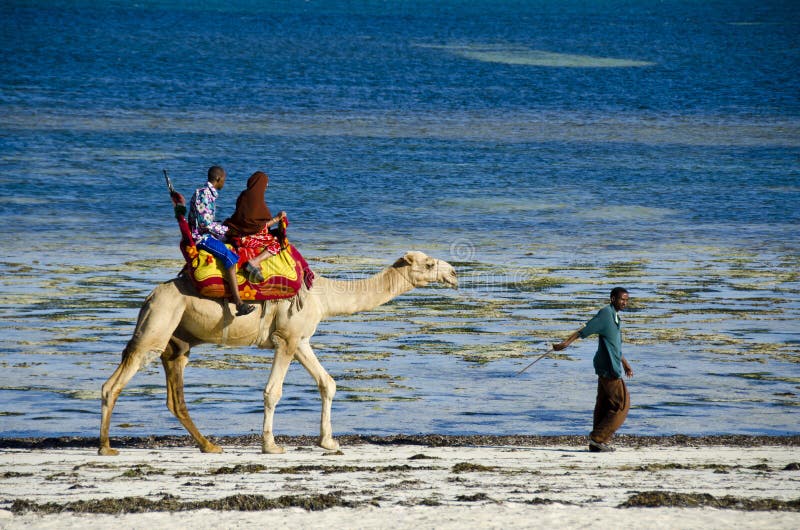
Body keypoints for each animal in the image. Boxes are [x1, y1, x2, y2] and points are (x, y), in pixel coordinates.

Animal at [99, 251, 457, 456]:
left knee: (174, 397)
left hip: (177, 341)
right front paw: (270, 445)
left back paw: (210, 445)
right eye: (429, 263)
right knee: (114, 382)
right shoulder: (286, 338)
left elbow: (327, 383)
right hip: (157, 325)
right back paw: (106, 447)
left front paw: (329, 442)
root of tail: (149, 296)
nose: (453, 273)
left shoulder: (301, 339)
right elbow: (273, 391)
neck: (324, 296)